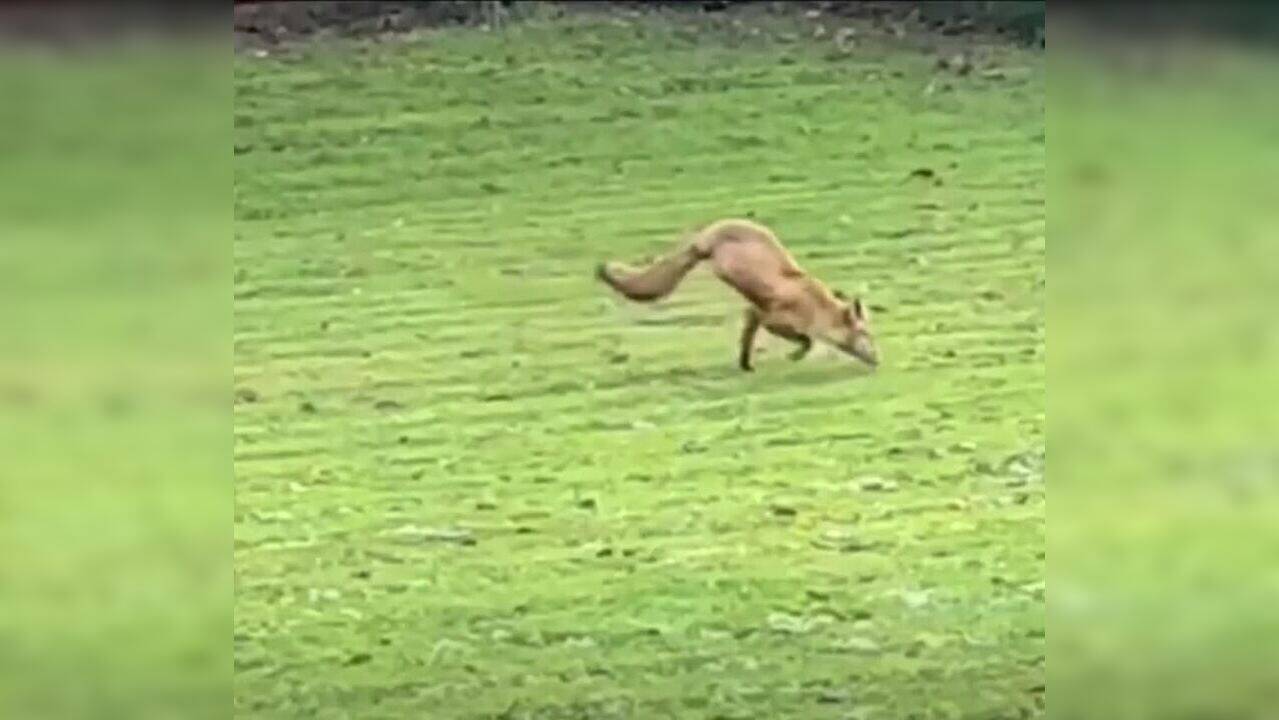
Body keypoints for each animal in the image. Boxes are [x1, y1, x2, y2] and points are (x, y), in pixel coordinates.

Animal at [595, 218, 879, 371]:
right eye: (865, 334)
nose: (879, 359)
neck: (814, 306)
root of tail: (711, 228)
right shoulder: (773, 319)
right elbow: (806, 341)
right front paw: (794, 355)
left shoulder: (755, 312)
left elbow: (747, 340)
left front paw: (745, 365)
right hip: (711, 254)